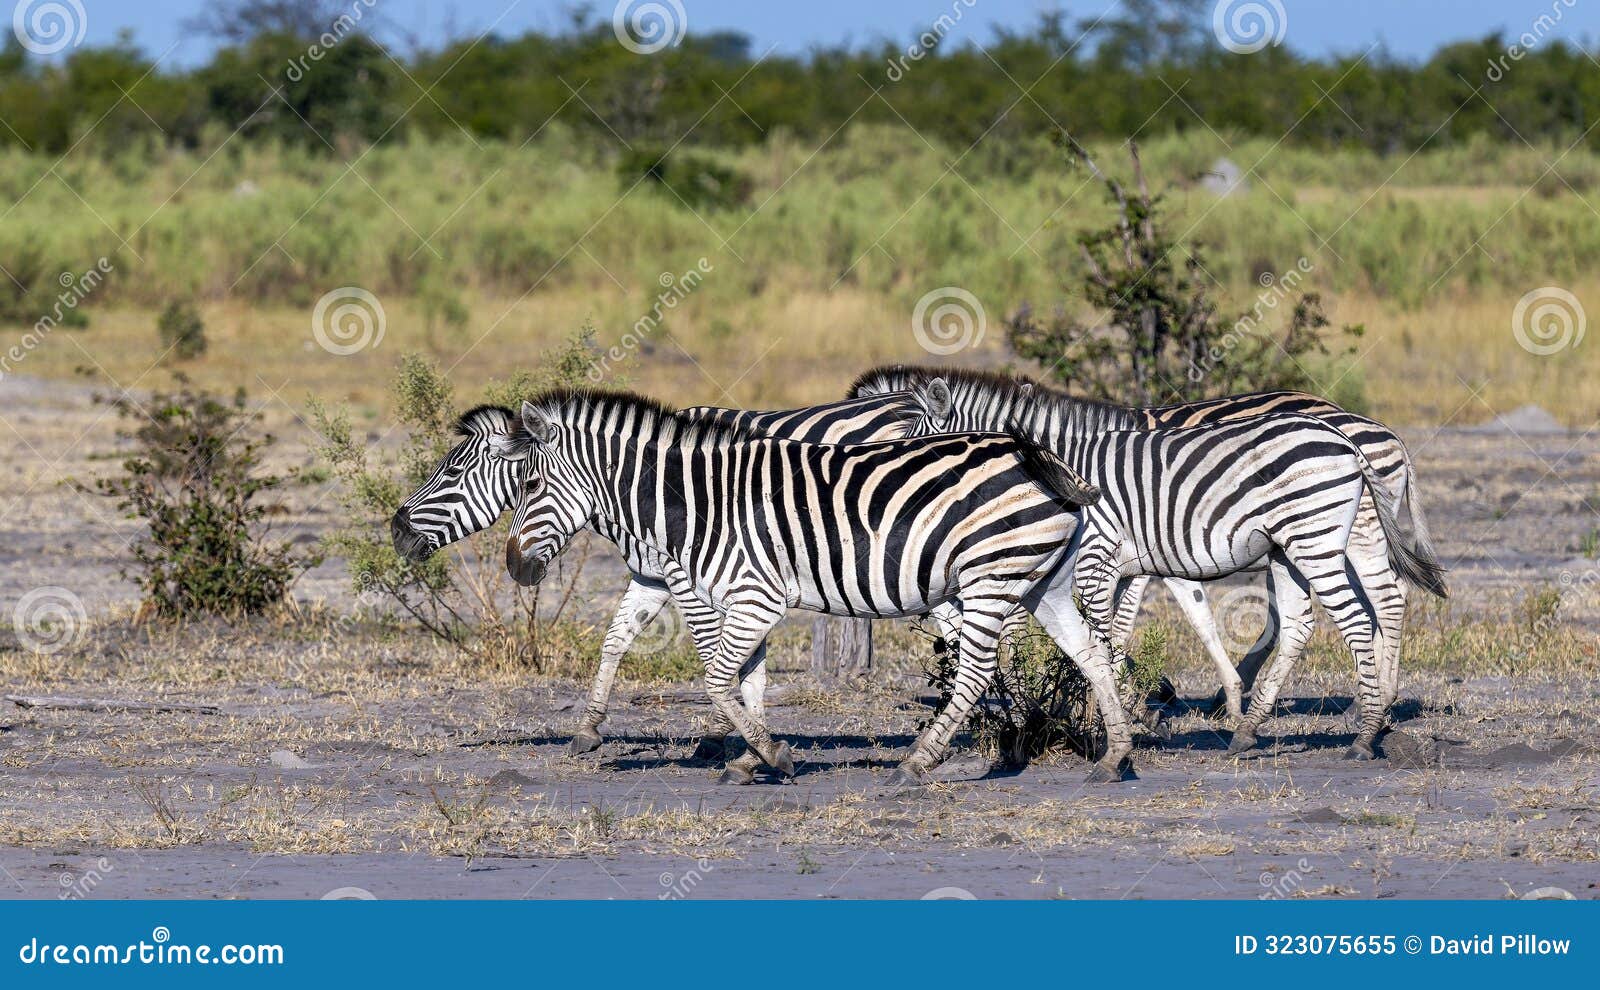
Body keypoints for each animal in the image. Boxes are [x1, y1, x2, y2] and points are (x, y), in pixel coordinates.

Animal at [391, 394, 920, 757]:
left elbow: (710, 652)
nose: (396, 531)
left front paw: (720, 737)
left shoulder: (687, 577)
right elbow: (615, 640)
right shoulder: (651, 578)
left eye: (452, 472)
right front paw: (589, 729)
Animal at [492, 389, 1134, 784]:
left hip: (989, 576)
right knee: (1090, 654)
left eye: (528, 485)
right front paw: (747, 761)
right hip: (1042, 581)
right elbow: (747, 681)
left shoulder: (755, 597)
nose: (516, 569)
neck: (699, 502)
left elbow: (719, 680)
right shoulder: (742, 599)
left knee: (976, 671)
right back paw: (1115, 758)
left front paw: (772, 755)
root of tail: (1030, 449)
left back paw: (915, 765)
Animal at [856, 368, 1447, 760]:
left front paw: (1099, 719)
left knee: (1370, 609)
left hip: (1336, 536)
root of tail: (1362, 433)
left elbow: (1099, 637)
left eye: (916, 454)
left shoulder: (1096, 555)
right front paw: (1111, 711)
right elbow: (1121, 633)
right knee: (1321, 617)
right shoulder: (1129, 561)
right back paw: (1288, 723)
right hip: (1299, 543)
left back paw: (1367, 726)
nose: (897, 515)